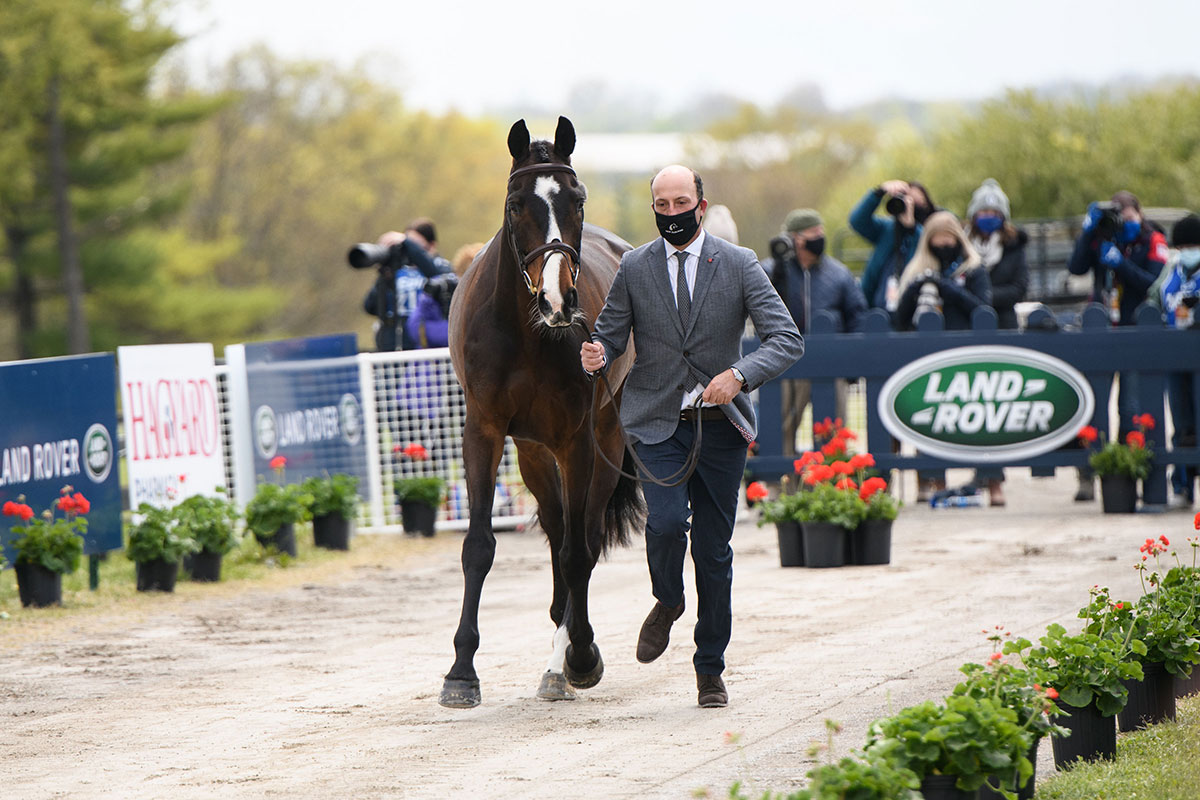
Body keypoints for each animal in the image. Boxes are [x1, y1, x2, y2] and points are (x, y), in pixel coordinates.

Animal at [441, 116, 643, 708]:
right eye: (515, 205)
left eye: (577, 199)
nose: (558, 301)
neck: (527, 333)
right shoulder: (485, 433)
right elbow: (479, 546)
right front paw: (461, 671)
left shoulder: (578, 440)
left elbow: (579, 553)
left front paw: (582, 656)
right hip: (533, 452)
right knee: (556, 531)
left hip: (603, 443)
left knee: (584, 538)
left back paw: (569, 655)